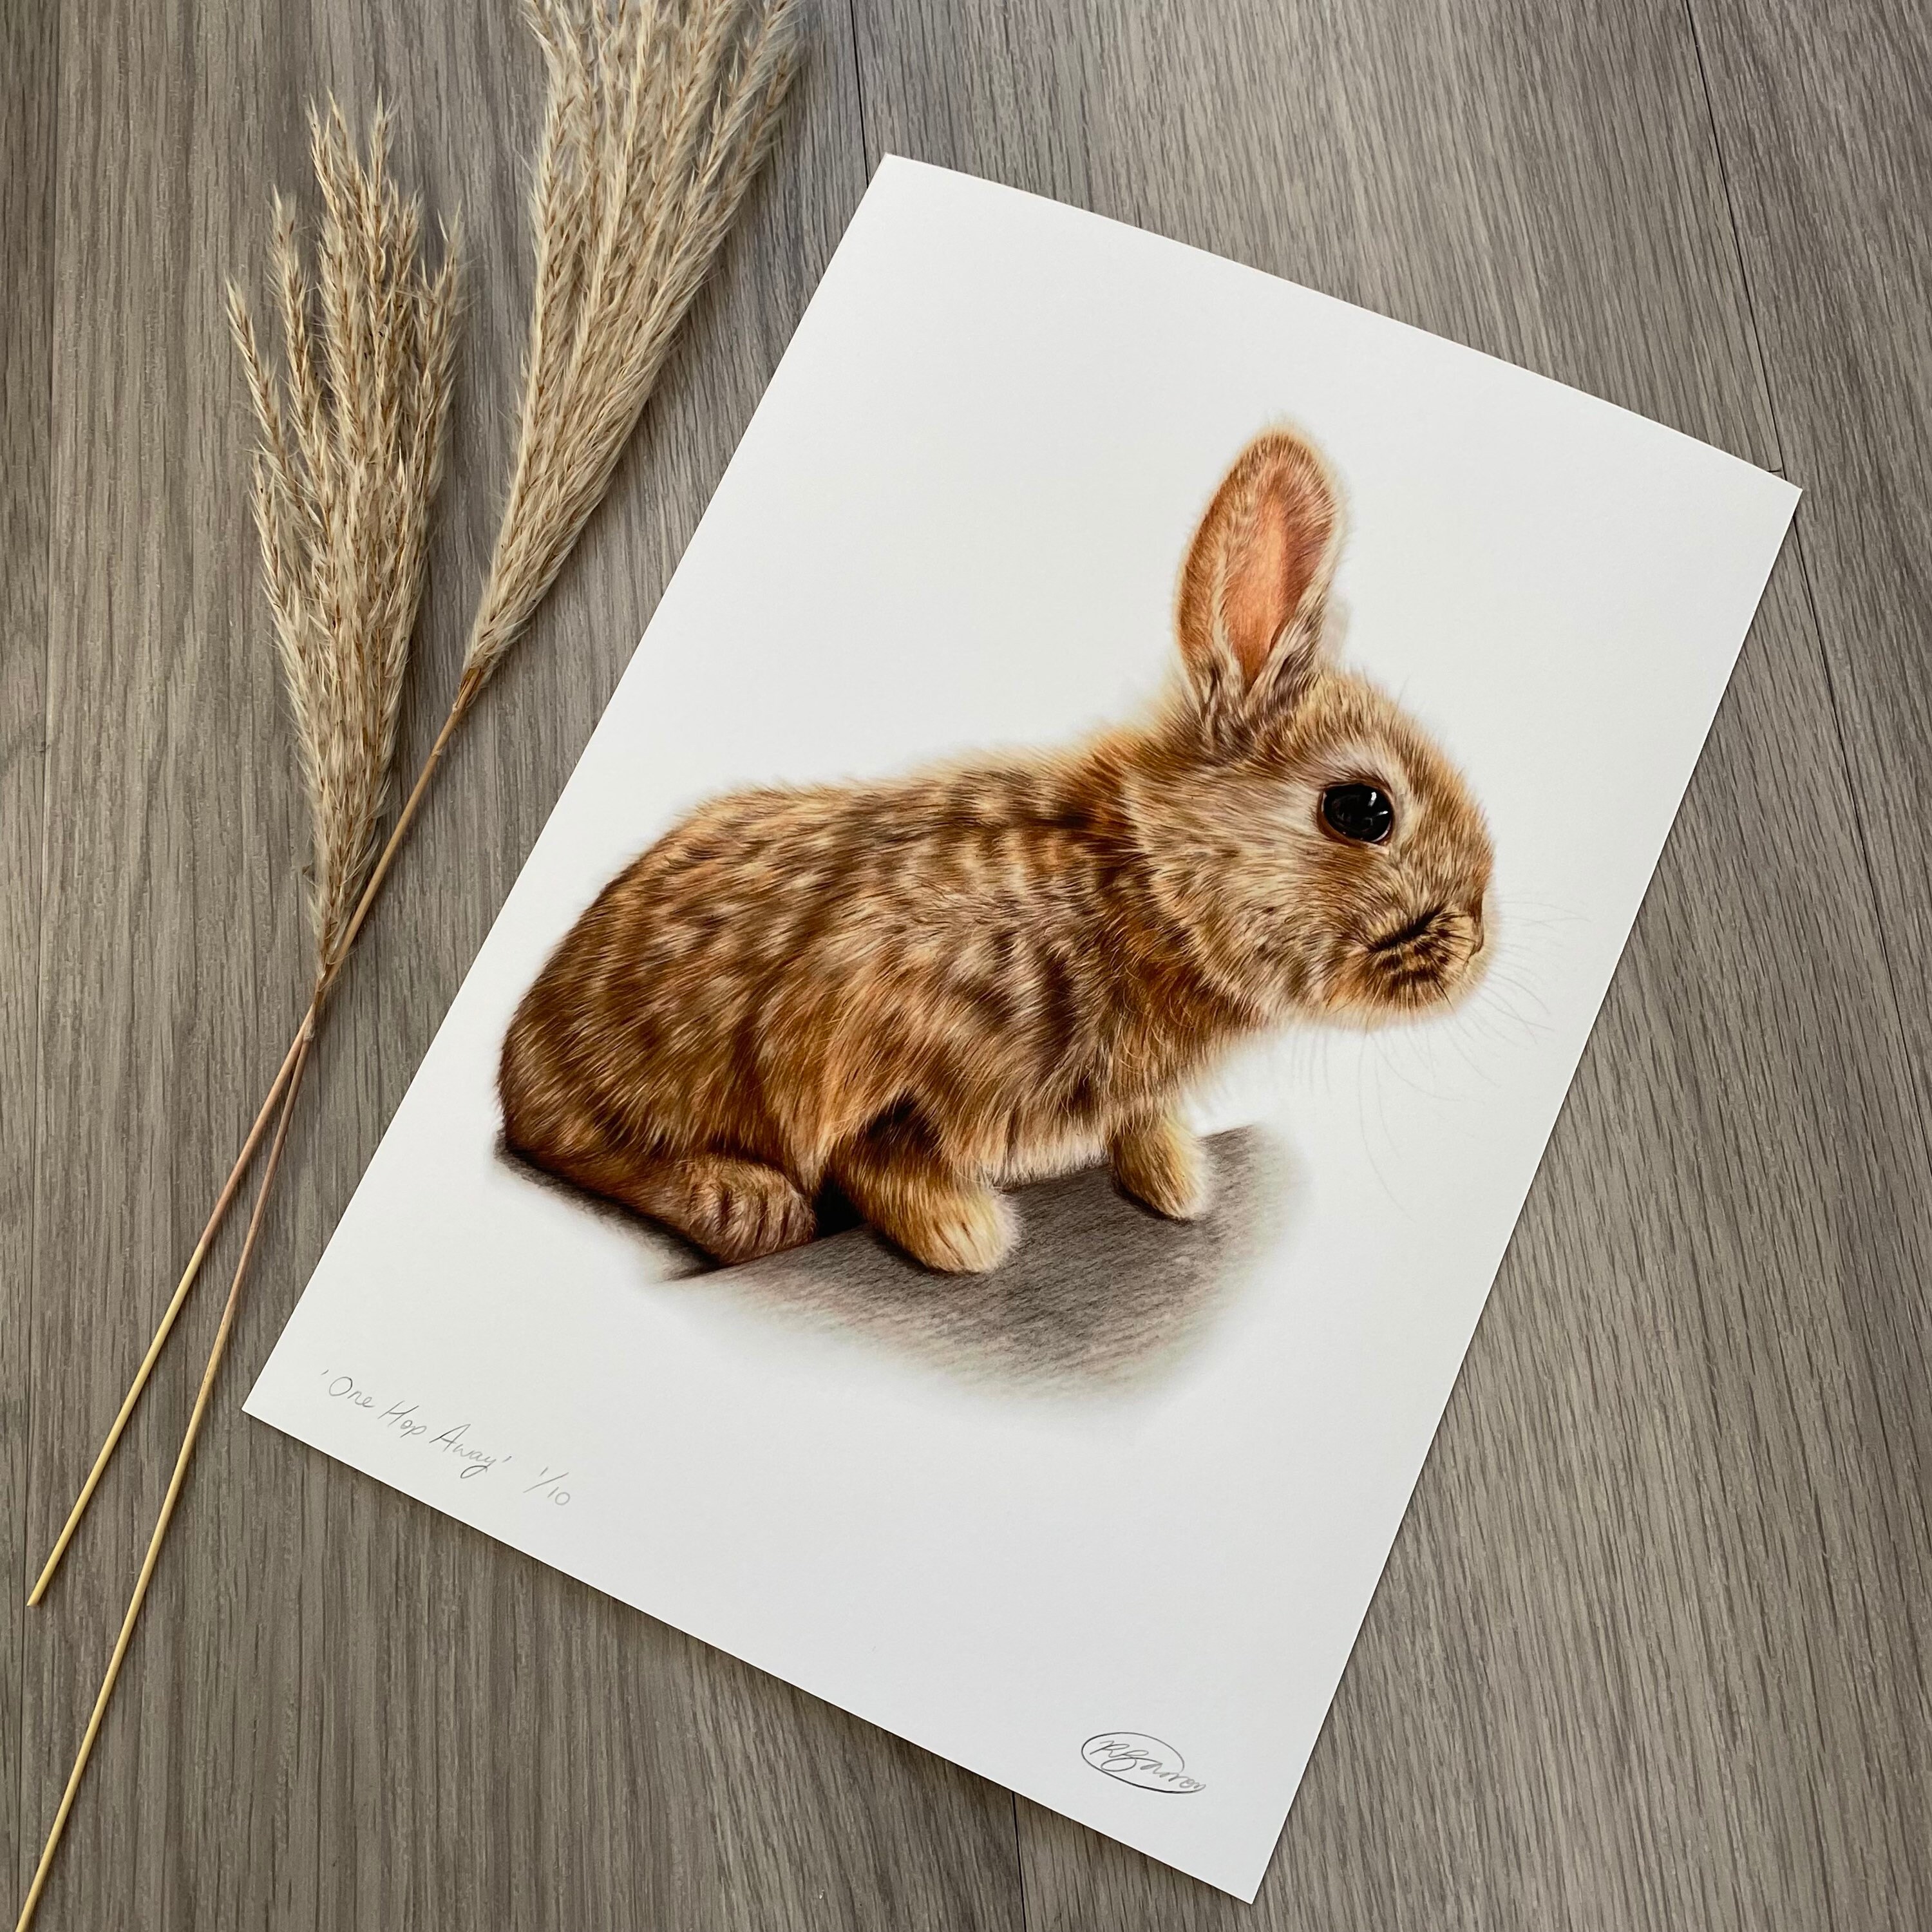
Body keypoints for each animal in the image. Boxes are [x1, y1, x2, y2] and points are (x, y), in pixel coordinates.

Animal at [500, 427, 1494, 1273]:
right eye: (1362, 810)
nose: (1476, 945)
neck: (1142, 891)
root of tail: (522, 1044)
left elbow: (1140, 1123)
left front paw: (1176, 1180)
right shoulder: (868, 1032)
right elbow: (872, 1149)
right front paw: (965, 1234)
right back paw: (744, 1204)